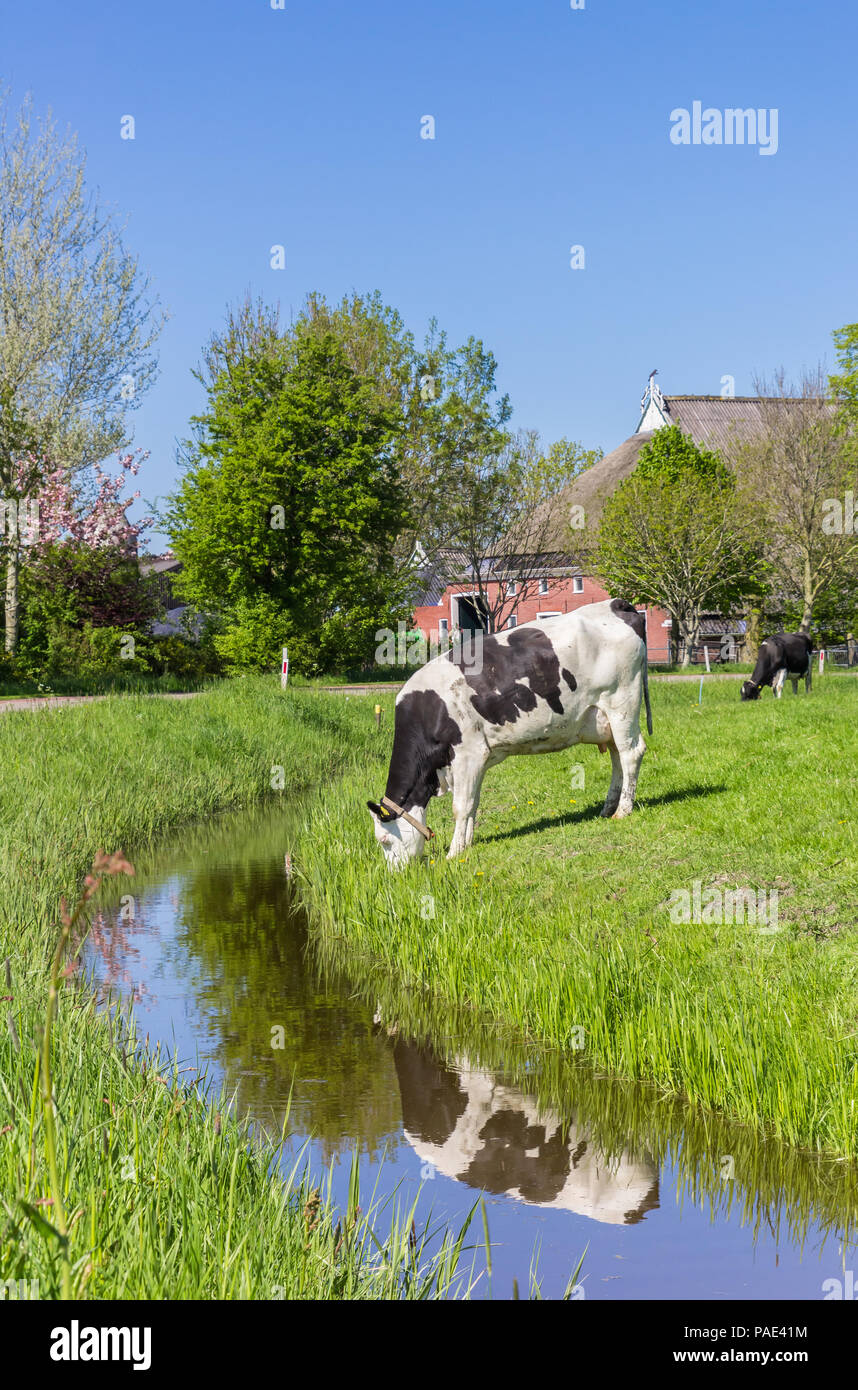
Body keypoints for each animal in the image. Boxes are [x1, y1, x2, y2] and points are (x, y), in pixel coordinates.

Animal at [367, 598, 652, 867]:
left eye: (385, 840)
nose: (397, 873)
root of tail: (616, 604)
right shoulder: (479, 758)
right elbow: (474, 802)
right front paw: (468, 843)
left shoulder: (468, 753)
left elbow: (461, 806)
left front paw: (454, 853)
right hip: (606, 718)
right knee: (617, 758)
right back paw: (608, 807)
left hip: (622, 701)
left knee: (631, 753)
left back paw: (623, 810)